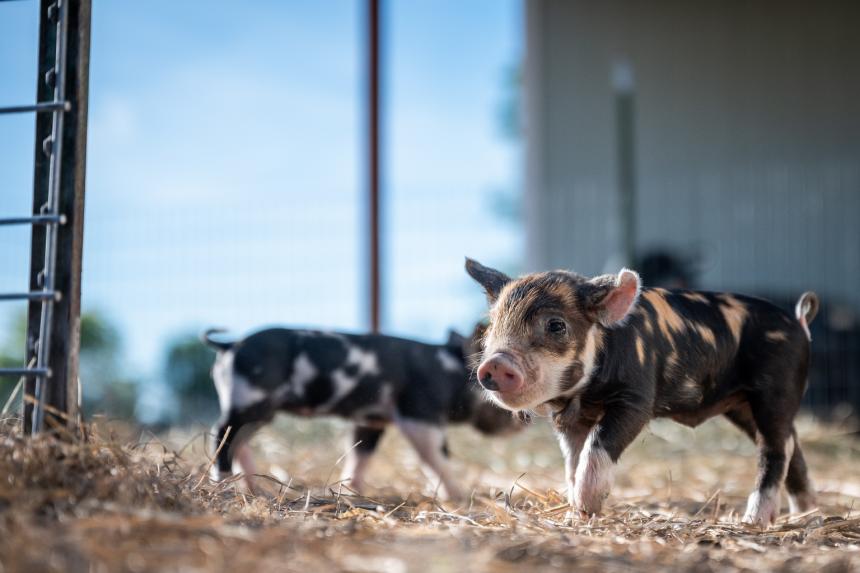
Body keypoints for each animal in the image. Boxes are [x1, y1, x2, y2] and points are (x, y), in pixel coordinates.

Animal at [202, 325, 520, 499]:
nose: (524, 422)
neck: (445, 370)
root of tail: (230, 345)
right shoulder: (419, 415)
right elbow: (437, 457)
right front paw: (458, 497)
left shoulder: (371, 420)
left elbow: (360, 456)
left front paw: (352, 493)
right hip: (247, 398)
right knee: (220, 434)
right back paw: (223, 488)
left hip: (259, 411)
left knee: (239, 440)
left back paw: (253, 490)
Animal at [465, 258, 819, 526]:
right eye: (493, 324)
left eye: (556, 325)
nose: (495, 363)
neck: (587, 395)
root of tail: (799, 323)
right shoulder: (570, 420)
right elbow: (573, 463)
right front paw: (576, 512)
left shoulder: (636, 398)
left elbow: (596, 449)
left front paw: (587, 506)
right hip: (742, 406)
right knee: (793, 449)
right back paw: (807, 515)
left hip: (776, 391)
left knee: (774, 450)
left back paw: (754, 521)